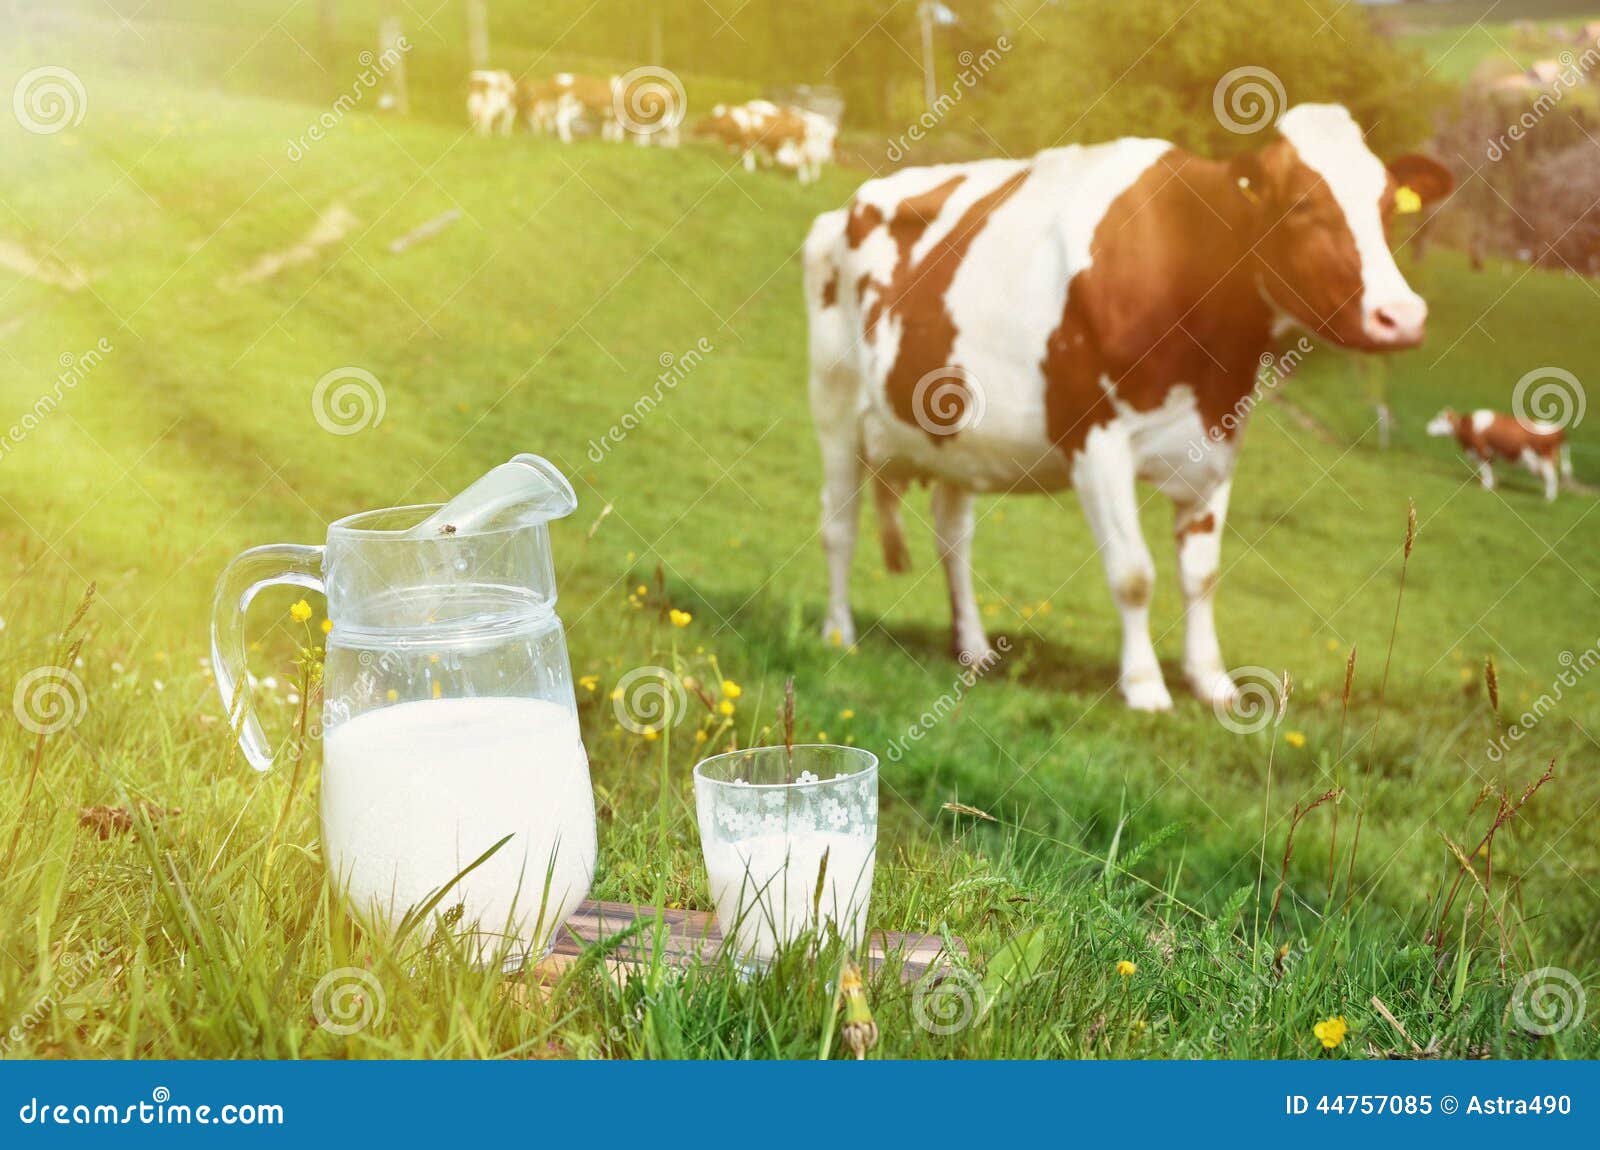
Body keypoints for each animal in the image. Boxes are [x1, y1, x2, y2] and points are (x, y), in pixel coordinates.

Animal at [803, 104, 1453, 711]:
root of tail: (846, 207)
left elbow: (1202, 576)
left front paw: (1213, 684)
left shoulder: (1218, 442)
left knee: (953, 537)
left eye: (1389, 206)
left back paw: (974, 649)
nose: (1403, 316)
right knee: (839, 525)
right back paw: (839, 634)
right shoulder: (1098, 443)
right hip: (834, 405)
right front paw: (1145, 689)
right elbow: (1134, 573)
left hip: (955, 433)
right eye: (1300, 204)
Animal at [1426, 408, 1571, 500]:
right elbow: (1490, 470)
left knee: (1551, 477)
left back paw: (1549, 498)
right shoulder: (1490, 454)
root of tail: (1560, 431)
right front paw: (1491, 485)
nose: (1427, 427)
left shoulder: (1481, 451)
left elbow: (1485, 470)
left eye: (1438, 420)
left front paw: (1485, 487)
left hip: (1545, 458)